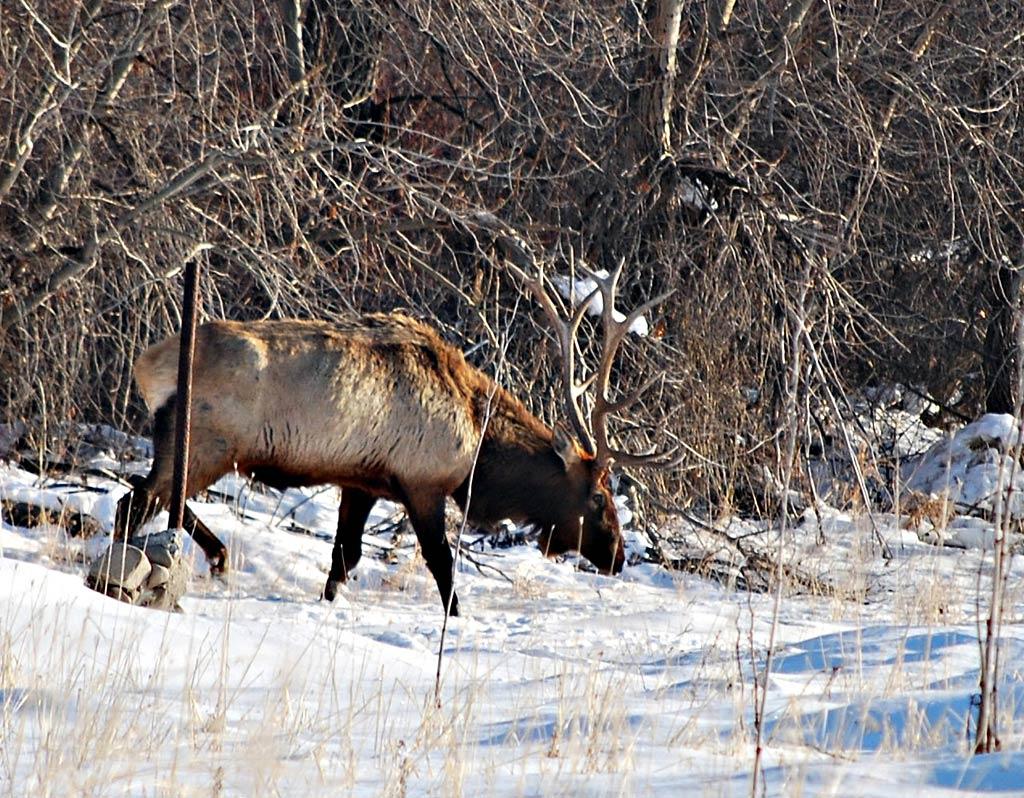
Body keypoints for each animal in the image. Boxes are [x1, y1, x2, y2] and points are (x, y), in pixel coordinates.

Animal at [114, 263, 676, 616]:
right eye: (598, 497)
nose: (618, 556)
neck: (479, 450)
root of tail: (148, 364)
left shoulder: (362, 481)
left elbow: (344, 557)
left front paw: (329, 603)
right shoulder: (421, 482)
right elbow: (442, 566)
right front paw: (457, 618)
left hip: (197, 447)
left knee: (155, 495)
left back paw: (219, 555)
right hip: (206, 443)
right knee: (135, 502)